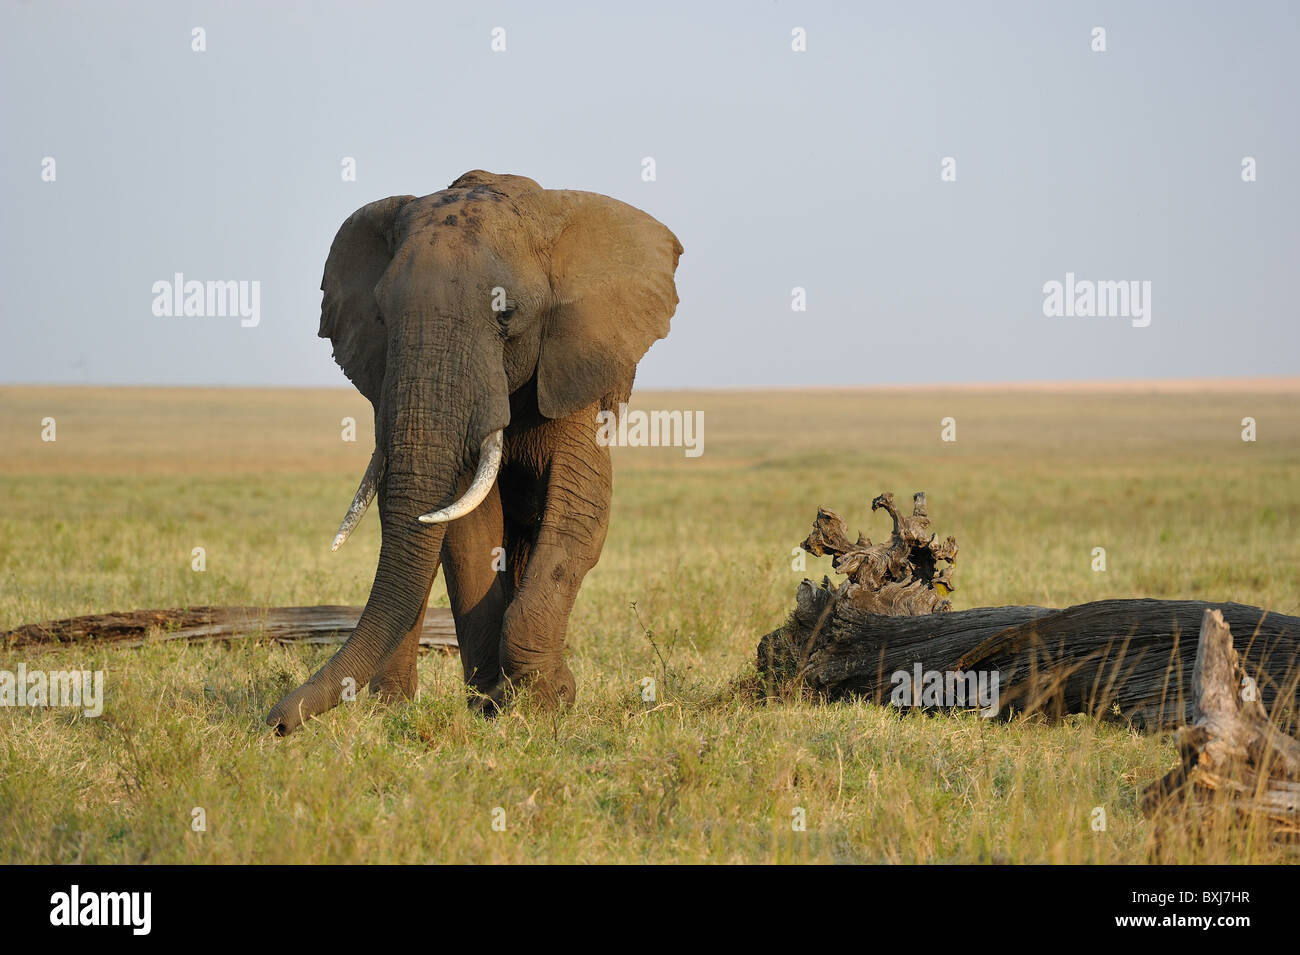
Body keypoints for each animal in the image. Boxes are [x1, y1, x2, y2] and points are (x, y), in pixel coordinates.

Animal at [266, 170, 683, 735]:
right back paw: (390, 706)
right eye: (382, 316)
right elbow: (466, 529)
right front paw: (494, 702)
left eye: (505, 315)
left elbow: (579, 513)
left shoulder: (576, 358)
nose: (277, 722)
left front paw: (545, 700)